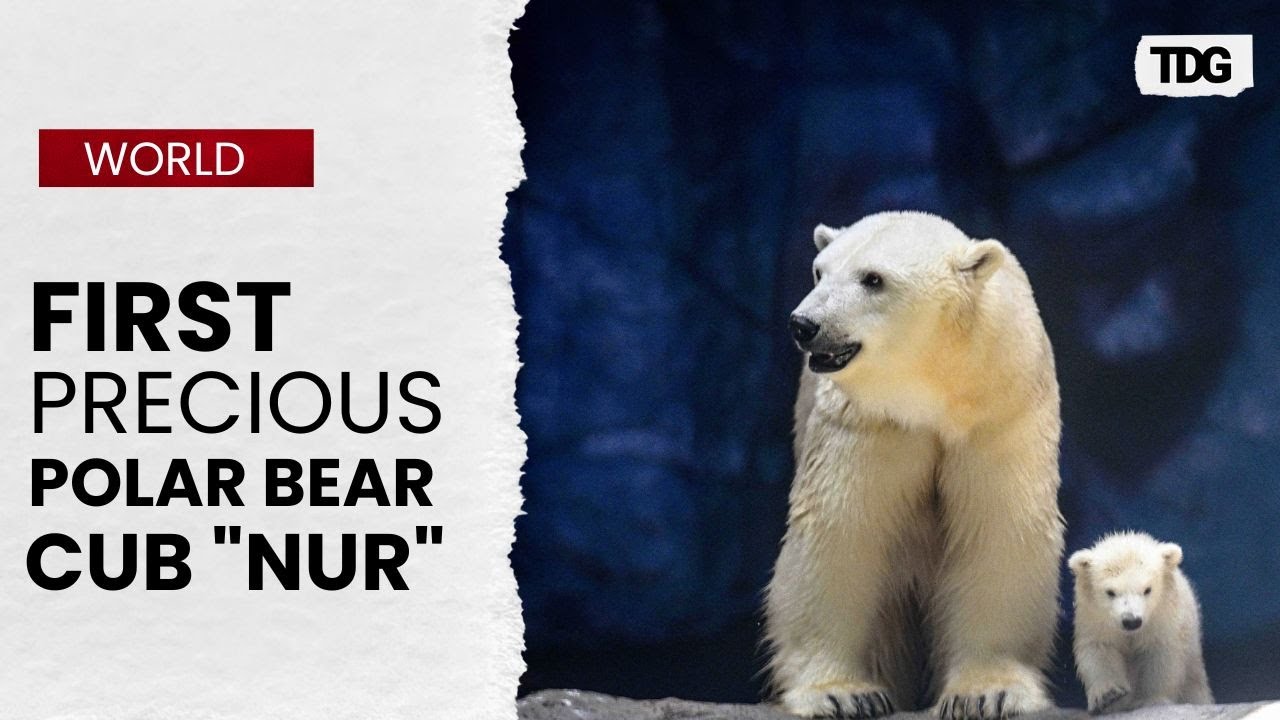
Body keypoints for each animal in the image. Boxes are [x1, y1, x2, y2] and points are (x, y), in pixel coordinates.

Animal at [764, 211, 1065, 719]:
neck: (933, 383)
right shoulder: (870, 421)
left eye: (873, 279)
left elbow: (998, 529)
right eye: (819, 271)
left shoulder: (1000, 408)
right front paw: (842, 693)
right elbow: (841, 530)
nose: (804, 324)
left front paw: (988, 692)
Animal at [1068, 532, 1212, 714]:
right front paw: (1108, 695)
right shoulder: (1095, 619)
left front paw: (1152, 700)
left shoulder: (1162, 619)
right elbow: (1100, 649)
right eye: (1110, 592)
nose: (1131, 621)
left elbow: (1160, 655)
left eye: (1147, 589)